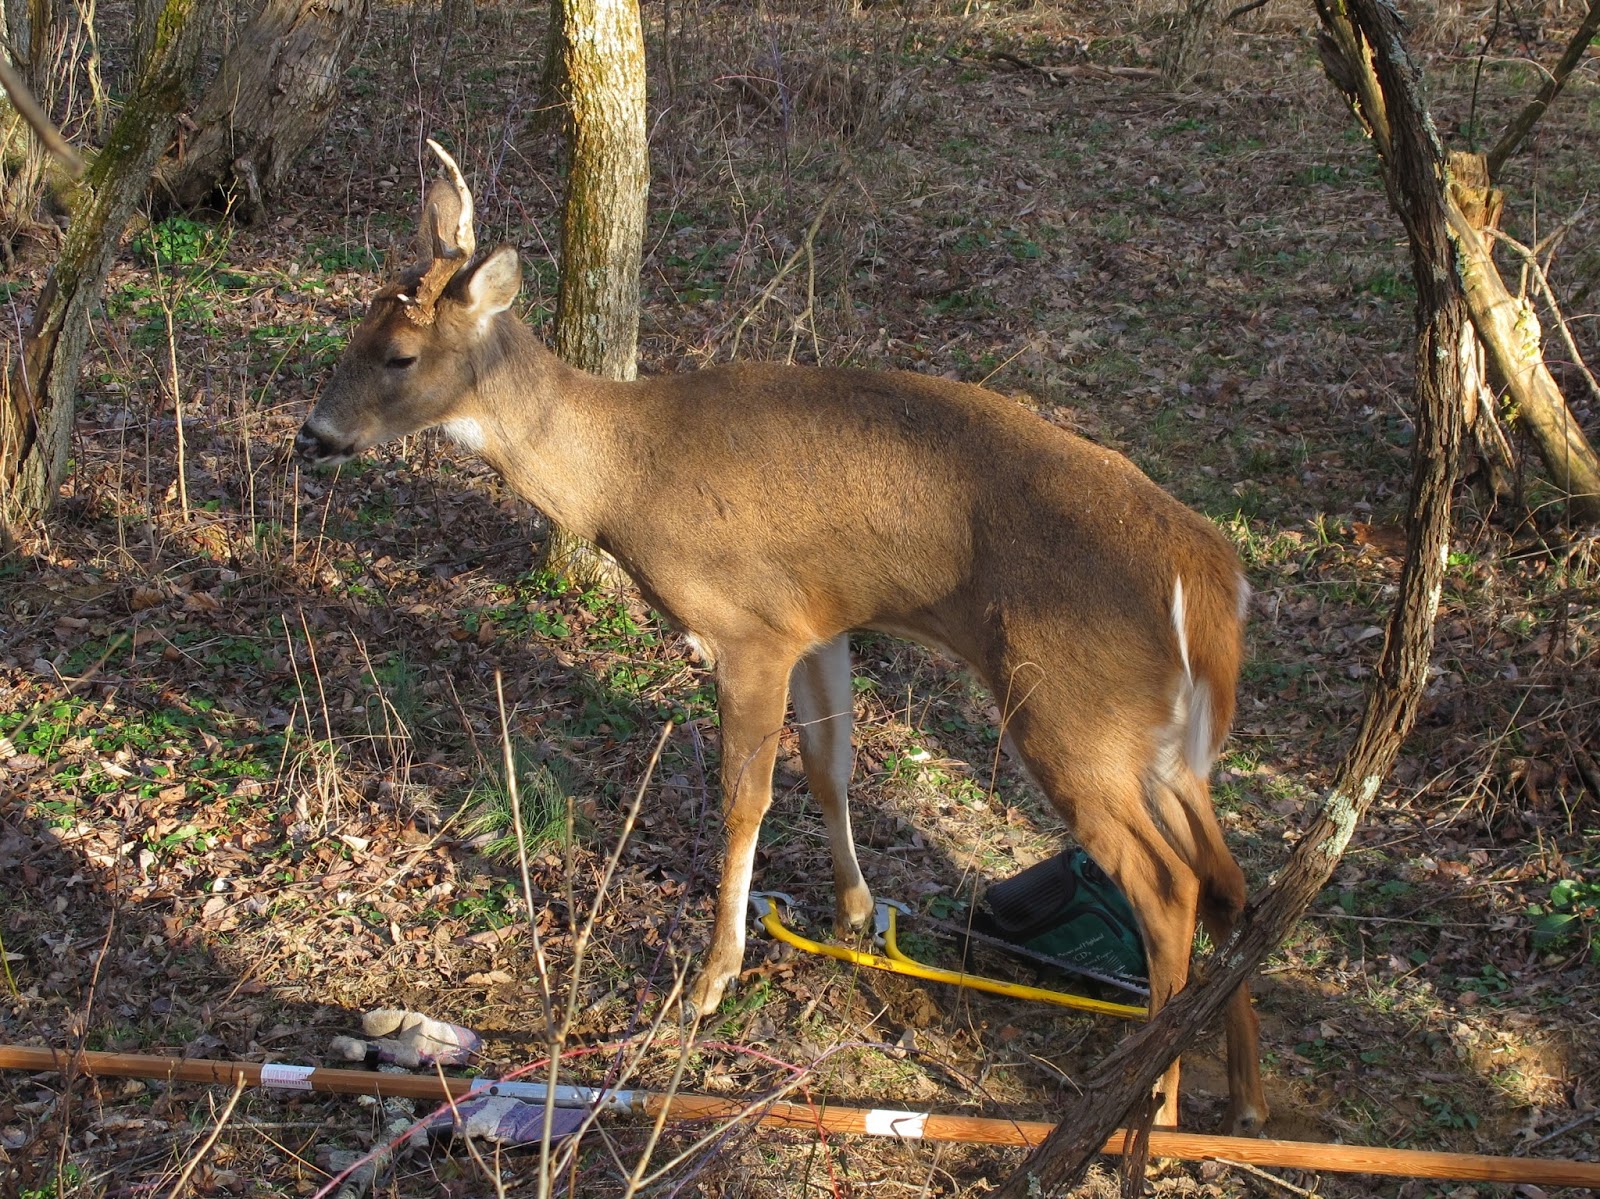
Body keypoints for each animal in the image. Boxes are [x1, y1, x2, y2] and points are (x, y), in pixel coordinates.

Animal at [295, 142, 1269, 1135]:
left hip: (1070, 708)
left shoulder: (748, 626)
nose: (311, 434)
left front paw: (711, 979)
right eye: (356, 322)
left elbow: (744, 799)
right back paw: (1246, 1097)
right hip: (1161, 741)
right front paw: (853, 914)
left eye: (401, 352)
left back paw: (1157, 1108)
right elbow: (829, 768)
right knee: (1229, 881)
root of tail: (1208, 576)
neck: (623, 474)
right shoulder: (819, 621)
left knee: (1170, 890)